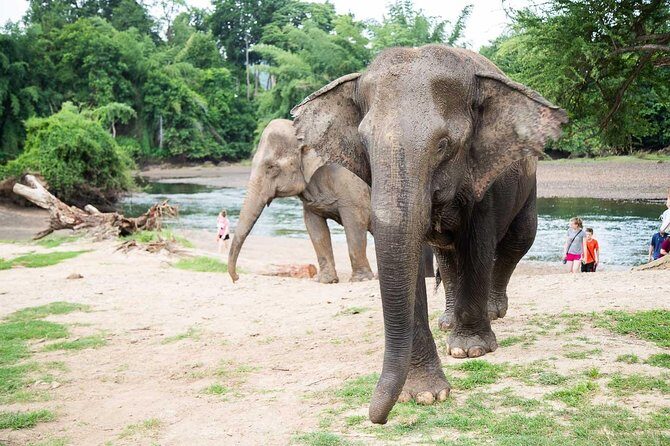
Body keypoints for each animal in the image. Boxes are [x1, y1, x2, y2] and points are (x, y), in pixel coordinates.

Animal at [227, 118, 375, 284]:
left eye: (271, 167)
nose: (237, 278)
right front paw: (326, 281)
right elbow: (315, 227)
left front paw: (361, 279)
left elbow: (355, 222)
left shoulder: (351, 186)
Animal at [291, 45, 567, 424]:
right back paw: (447, 321)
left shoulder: (484, 175)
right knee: (446, 254)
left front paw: (470, 351)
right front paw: (426, 394)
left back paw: (492, 312)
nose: (377, 419)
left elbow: (478, 244)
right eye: (364, 142)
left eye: (444, 144)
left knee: (518, 238)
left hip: (529, 178)